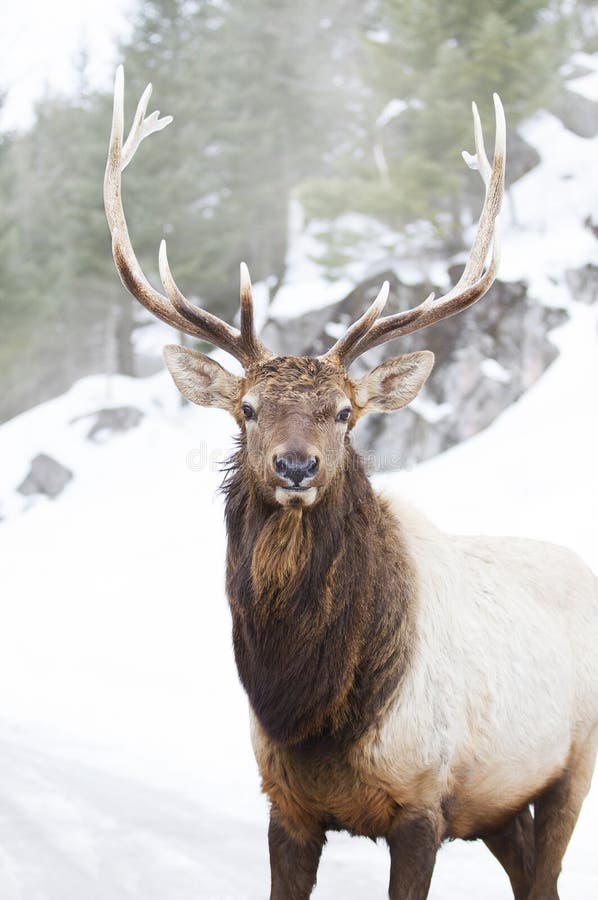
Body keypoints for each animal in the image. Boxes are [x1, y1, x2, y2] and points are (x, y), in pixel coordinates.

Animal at [104, 66, 598, 900]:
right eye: (248, 408)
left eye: (344, 413)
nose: (296, 466)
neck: (307, 709)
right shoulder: (287, 804)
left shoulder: (424, 800)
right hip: (498, 803)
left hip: (570, 763)